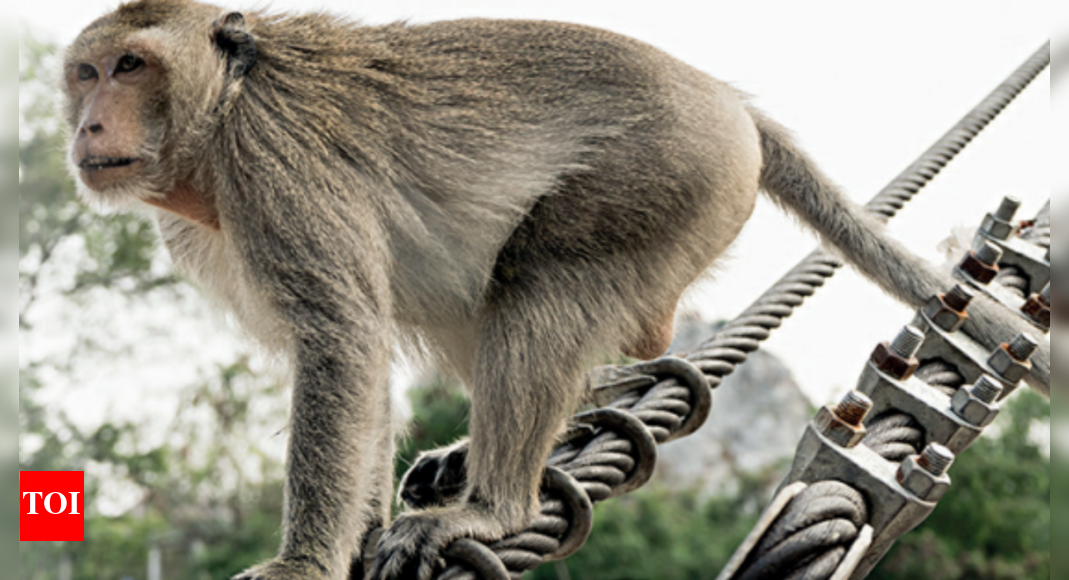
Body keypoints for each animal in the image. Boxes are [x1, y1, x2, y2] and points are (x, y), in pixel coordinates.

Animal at [61, 1, 1049, 579]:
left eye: (131, 67)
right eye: (86, 72)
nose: (87, 125)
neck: (220, 113)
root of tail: (728, 102)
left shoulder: (269, 164)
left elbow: (340, 336)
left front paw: (303, 564)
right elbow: (362, 347)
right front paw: (351, 544)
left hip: (669, 172)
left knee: (538, 278)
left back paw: (495, 507)